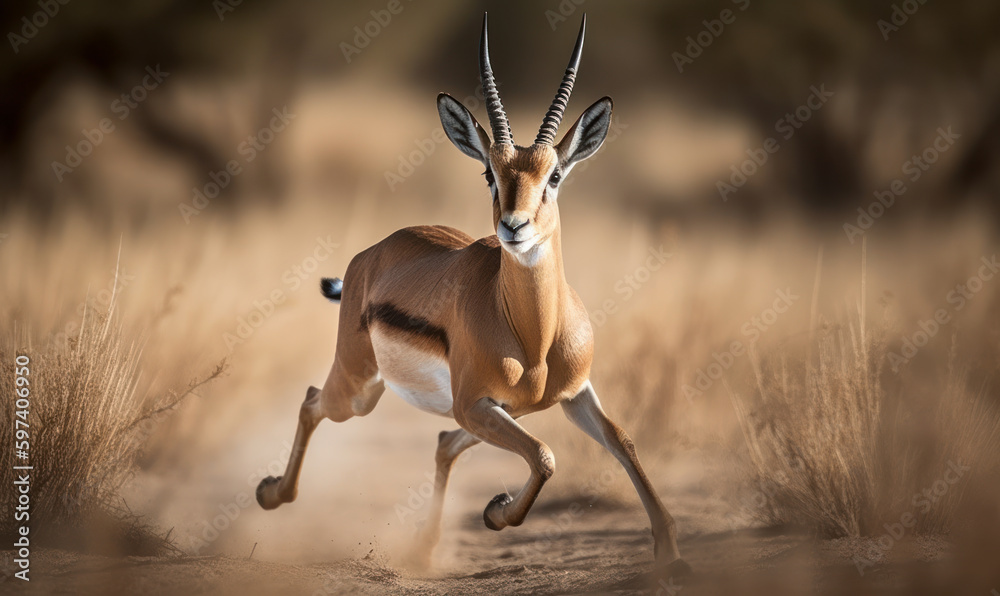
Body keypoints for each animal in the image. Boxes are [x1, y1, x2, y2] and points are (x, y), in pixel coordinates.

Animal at [256, 13, 688, 574]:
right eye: (490, 173)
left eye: (554, 175)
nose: (513, 227)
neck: (534, 340)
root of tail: (372, 254)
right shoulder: (478, 404)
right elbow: (546, 455)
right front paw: (497, 511)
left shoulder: (573, 395)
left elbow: (622, 441)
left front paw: (672, 554)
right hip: (361, 390)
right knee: (312, 401)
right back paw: (271, 494)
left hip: (483, 409)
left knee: (444, 442)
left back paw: (423, 548)